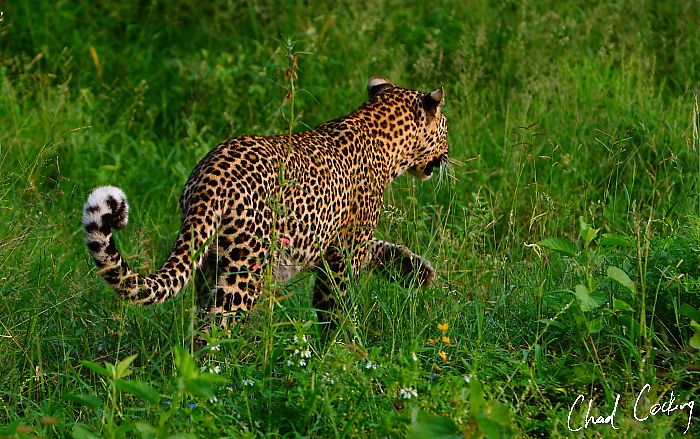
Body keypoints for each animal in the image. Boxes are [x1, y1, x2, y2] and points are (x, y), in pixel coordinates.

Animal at [82, 76, 449, 332]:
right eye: (445, 128)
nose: (447, 156)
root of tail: (211, 173)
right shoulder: (344, 254)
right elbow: (335, 310)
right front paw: (338, 354)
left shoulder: (337, 245)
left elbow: (380, 249)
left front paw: (416, 271)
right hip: (243, 270)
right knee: (214, 331)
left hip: (211, 262)